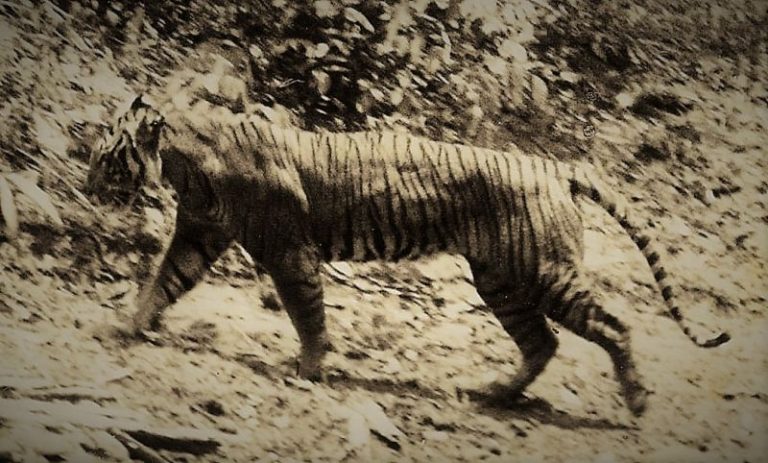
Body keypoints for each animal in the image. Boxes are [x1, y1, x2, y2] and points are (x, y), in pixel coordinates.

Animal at [88, 95, 729, 417]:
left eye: (105, 156)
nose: (87, 183)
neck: (184, 164)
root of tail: (553, 164)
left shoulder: (289, 252)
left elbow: (307, 314)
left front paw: (309, 370)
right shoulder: (198, 235)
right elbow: (163, 283)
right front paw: (127, 326)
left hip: (545, 274)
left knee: (613, 326)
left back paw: (637, 401)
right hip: (501, 281)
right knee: (541, 343)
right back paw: (494, 395)